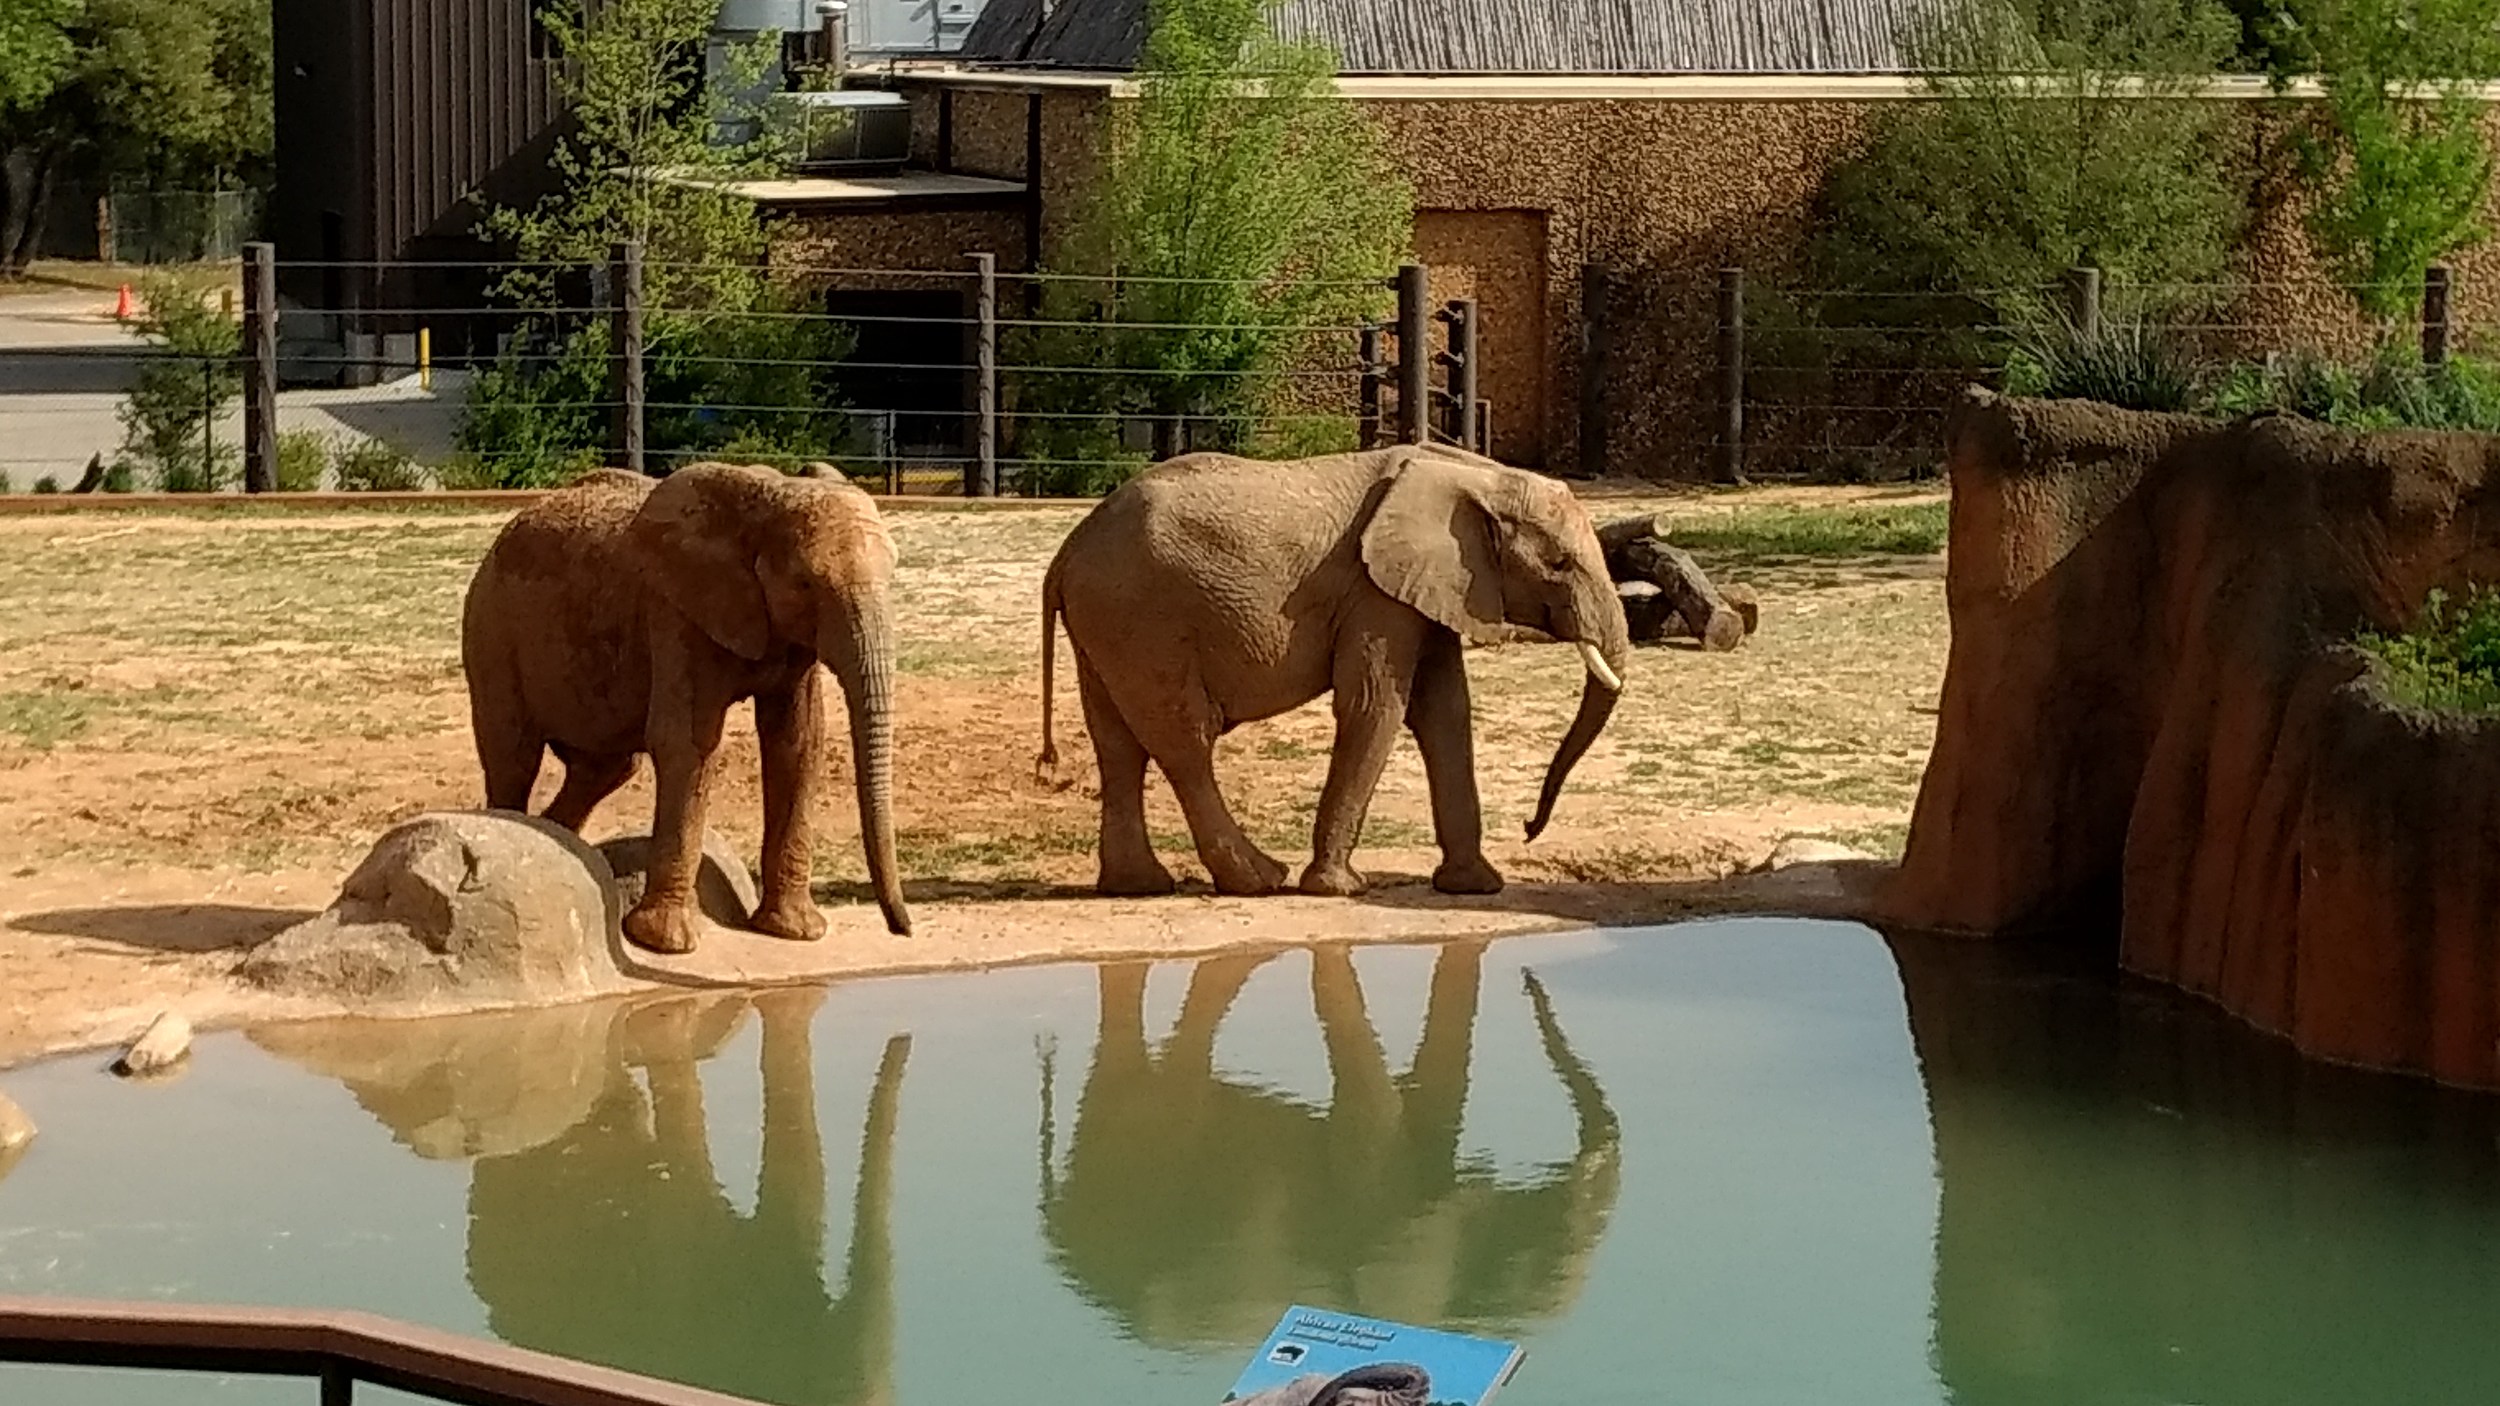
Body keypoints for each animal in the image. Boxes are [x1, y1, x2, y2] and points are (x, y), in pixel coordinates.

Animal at [461, 462, 909, 954]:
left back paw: (566, 845)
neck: (768, 498)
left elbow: (798, 743)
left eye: (893, 576)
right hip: (490, 629)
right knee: (513, 759)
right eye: (805, 584)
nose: (901, 928)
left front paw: (795, 932)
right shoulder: (675, 613)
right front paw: (666, 943)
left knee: (607, 769)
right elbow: (688, 744)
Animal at [1037, 443, 1632, 899]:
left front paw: (1476, 886)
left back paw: (1137, 886)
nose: (1530, 830)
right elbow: (1376, 706)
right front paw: (1339, 889)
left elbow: (1445, 711)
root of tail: (1067, 552)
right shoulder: (1373, 593)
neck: (1476, 474)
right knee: (1183, 741)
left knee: (1118, 745)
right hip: (1142, 619)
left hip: (1107, 626)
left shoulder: (1429, 590)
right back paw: (1258, 880)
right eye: (1559, 563)